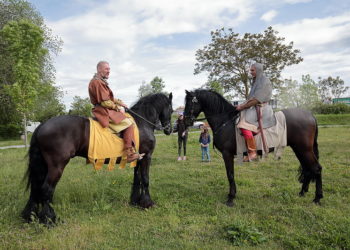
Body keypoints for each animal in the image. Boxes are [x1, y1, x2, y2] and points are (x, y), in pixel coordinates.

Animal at [21, 92, 172, 225]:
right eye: (171, 109)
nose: (169, 129)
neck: (141, 122)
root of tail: (42, 125)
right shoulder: (147, 157)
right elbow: (145, 180)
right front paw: (148, 203)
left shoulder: (138, 159)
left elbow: (137, 180)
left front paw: (135, 202)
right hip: (56, 166)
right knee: (46, 189)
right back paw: (50, 219)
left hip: (43, 166)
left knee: (36, 187)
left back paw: (31, 216)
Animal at [185, 90, 324, 207]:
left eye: (190, 102)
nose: (186, 121)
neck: (225, 121)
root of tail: (310, 115)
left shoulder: (227, 154)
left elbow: (230, 174)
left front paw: (231, 197)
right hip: (299, 149)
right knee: (307, 169)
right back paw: (302, 192)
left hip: (304, 149)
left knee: (316, 169)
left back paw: (317, 198)